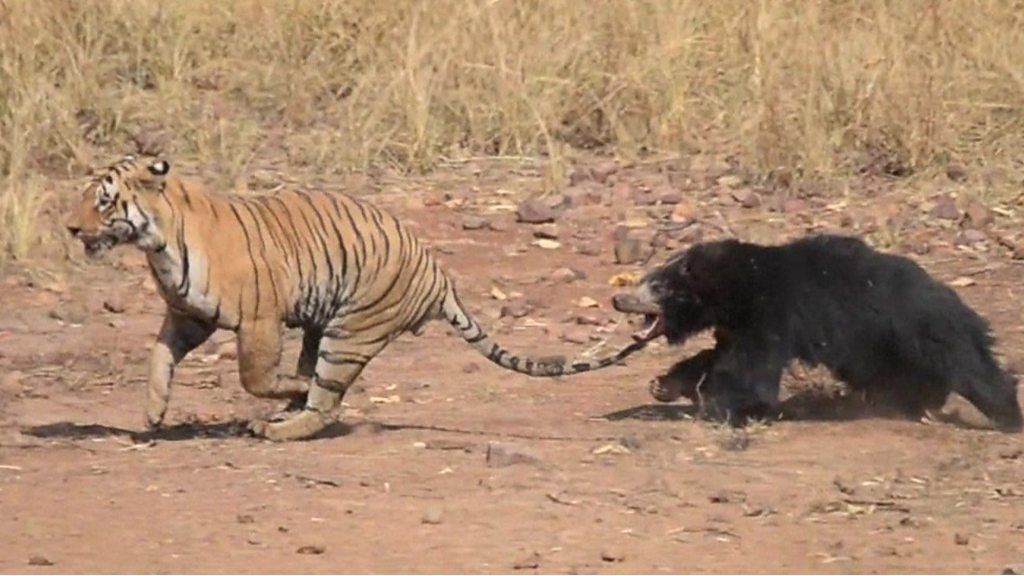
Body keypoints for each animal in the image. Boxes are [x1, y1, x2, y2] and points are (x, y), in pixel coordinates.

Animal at [65, 154, 647, 441]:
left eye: (104, 201)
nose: (70, 229)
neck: (156, 244)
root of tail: (439, 275)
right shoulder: (188, 316)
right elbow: (158, 358)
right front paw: (152, 414)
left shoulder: (259, 319)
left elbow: (254, 375)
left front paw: (287, 389)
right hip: (325, 324)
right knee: (322, 396)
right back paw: (281, 414)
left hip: (349, 331)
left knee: (327, 402)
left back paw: (280, 423)